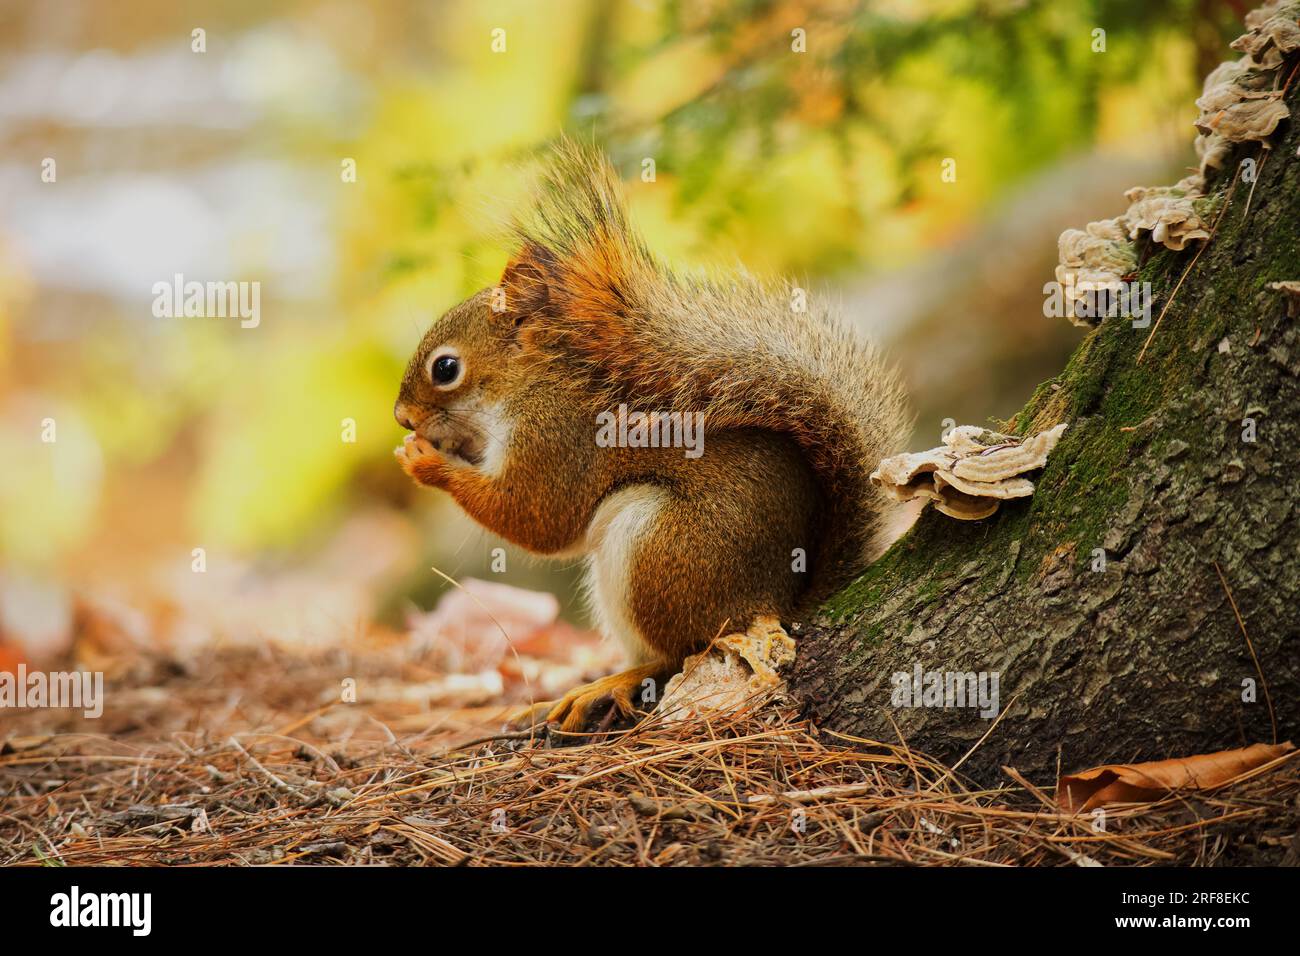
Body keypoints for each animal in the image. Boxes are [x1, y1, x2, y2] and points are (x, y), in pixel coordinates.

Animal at [394, 140, 910, 732]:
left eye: (446, 368)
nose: (401, 417)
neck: (526, 386)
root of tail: (779, 601)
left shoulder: (557, 438)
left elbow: (537, 515)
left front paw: (424, 461)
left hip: (658, 550)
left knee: (681, 651)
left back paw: (607, 684)